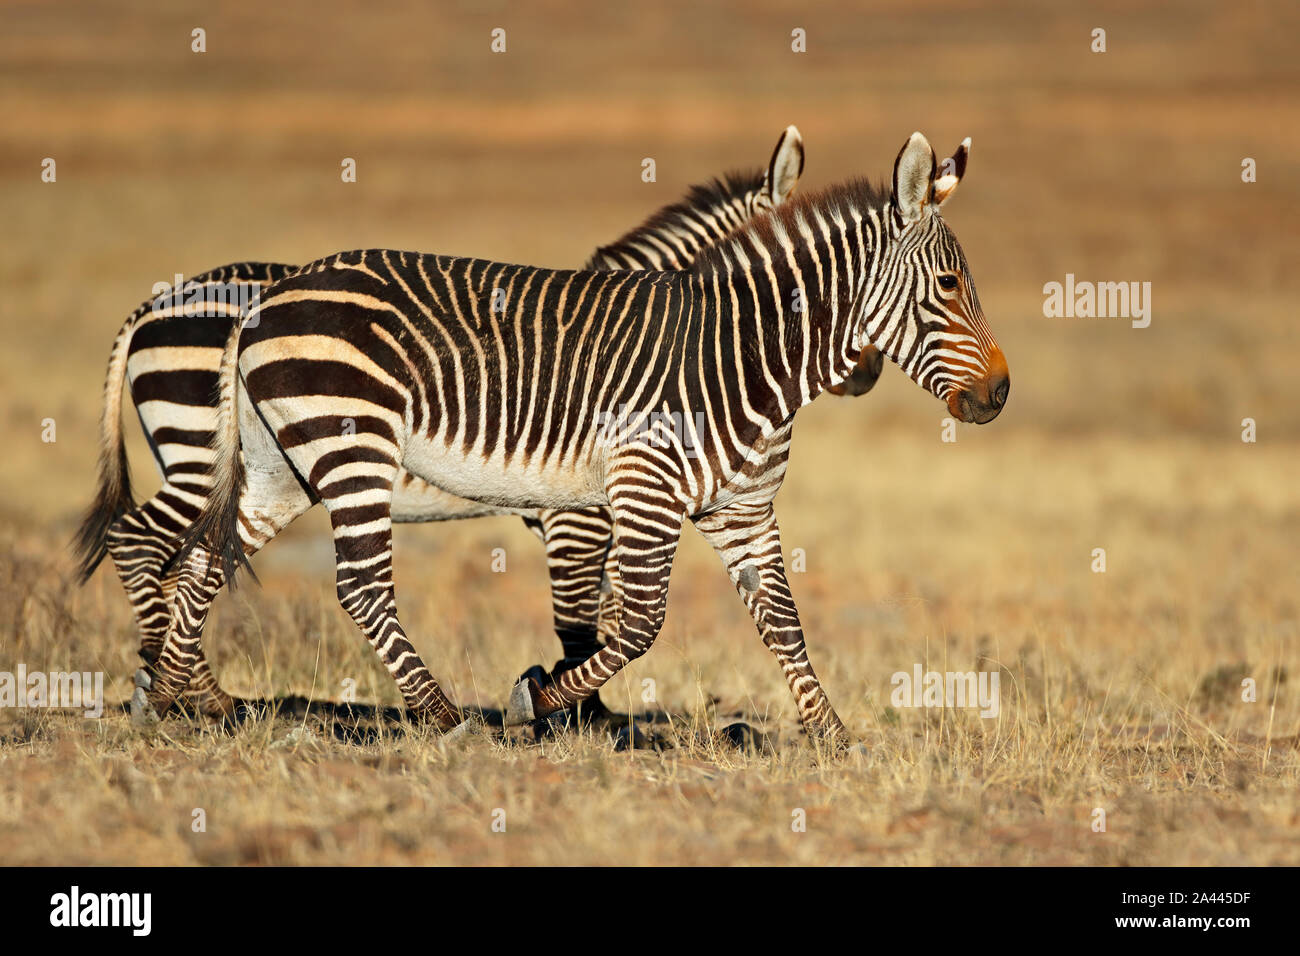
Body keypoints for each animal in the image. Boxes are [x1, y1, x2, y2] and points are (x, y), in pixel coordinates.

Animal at [148, 129, 1007, 745]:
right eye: (948, 286)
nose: (999, 393)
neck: (740, 354)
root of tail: (269, 298)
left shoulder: (742, 510)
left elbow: (781, 623)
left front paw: (831, 734)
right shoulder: (626, 496)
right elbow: (625, 622)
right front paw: (549, 706)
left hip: (280, 463)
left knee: (205, 557)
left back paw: (172, 699)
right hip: (349, 445)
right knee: (356, 586)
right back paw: (442, 716)